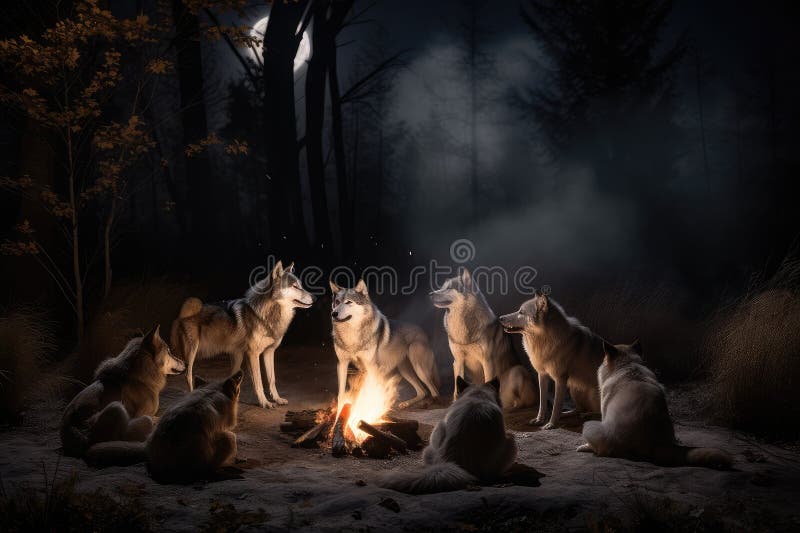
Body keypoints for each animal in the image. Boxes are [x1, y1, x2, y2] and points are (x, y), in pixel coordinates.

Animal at [86, 372, 244, 481]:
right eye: (238, 388)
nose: (241, 373)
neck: (212, 391)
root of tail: (147, 449)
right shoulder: (227, 429)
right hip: (229, 438)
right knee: (211, 469)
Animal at [171, 260, 315, 408]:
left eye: (301, 285)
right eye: (295, 286)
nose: (314, 297)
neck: (267, 314)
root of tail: (181, 315)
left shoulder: (268, 352)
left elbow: (272, 380)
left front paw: (277, 399)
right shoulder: (252, 354)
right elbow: (258, 382)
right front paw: (264, 402)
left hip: (236, 356)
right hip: (192, 354)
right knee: (188, 376)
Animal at [330, 279, 440, 409]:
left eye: (348, 302)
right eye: (337, 302)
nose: (334, 313)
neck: (351, 335)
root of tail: (423, 331)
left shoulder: (371, 367)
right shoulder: (342, 364)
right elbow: (341, 393)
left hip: (419, 368)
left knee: (434, 391)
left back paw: (429, 403)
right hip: (404, 370)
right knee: (422, 391)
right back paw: (406, 404)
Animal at [430, 268, 537, 409]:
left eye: (449, 288)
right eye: (442, 287)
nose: (430, 294)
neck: (463, 323)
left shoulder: (487, 361)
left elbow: (488, 381)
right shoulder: (458, 361)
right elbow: (457, 388)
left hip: (517, 371)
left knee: (521, 402)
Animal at [499, 293, 603, 429]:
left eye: (521, 312)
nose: (500, 318)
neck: (546, 340)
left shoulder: (560, 379)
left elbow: (556, 405)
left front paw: (551, 424)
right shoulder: (542, 375)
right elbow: (542, 402)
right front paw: (539, 420)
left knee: (601, 413)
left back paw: (588, 415)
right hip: (574, 389)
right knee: (579, 409)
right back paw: (566, 414)